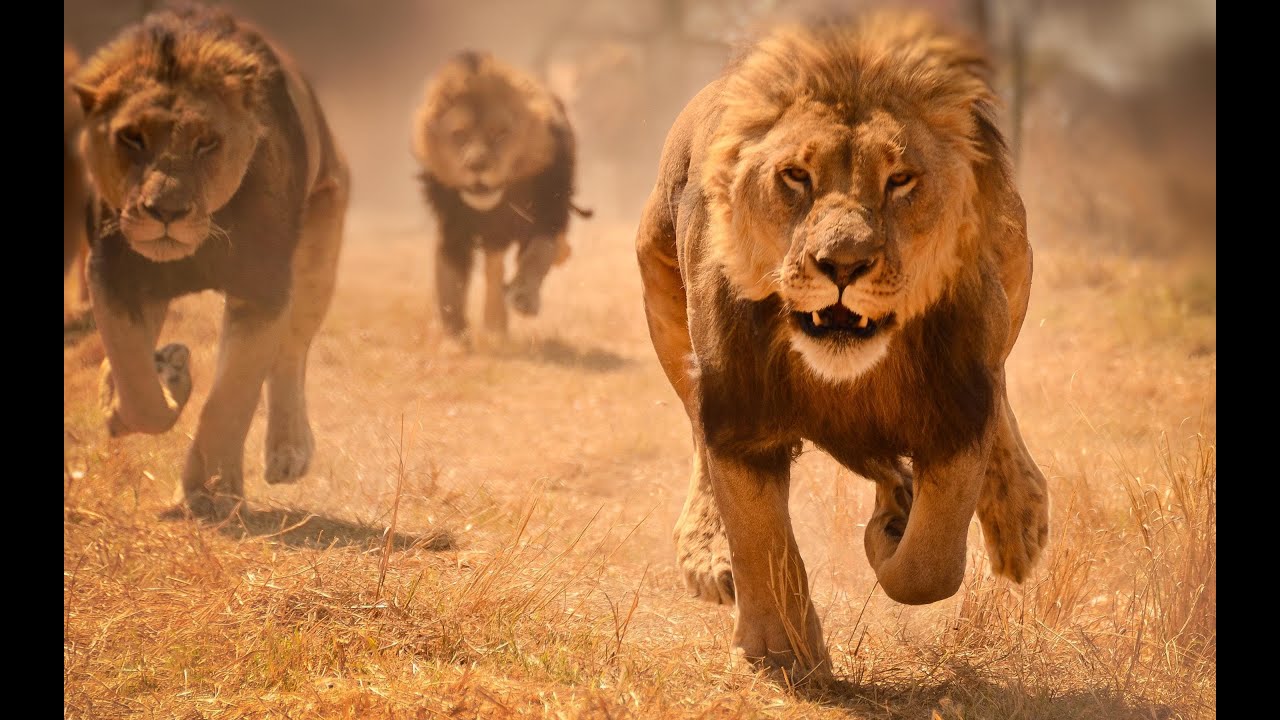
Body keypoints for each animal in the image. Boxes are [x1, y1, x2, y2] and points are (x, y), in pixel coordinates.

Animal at [72, 5, 349, 517]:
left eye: (206, 143)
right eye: (132, 138)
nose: (166, 212)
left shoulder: (262, 290)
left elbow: (231, 397)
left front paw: (212, 493)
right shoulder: (111, 276)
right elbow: (137, 384)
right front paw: (167, 379)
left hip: (320, 244)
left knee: (291, 354)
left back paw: (288, 452)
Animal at [412, 50, 591, 348]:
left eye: (500, 134)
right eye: (459, 135)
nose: (477, 165)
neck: (496, 206)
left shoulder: (547, 214)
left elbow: (538, 254)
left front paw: (524, 296)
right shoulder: (453, 230)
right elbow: (450, 284)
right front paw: (454, 340)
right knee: (493, 270)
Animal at [635, 11, 1049, 678]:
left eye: (900, 180)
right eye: (796, 176)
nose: (843, 265)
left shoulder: (960, 405)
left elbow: (930, 564)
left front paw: (891, 535)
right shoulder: (737, 414)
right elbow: (760, 536)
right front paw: (779, 651)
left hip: (1013, 266)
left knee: (1000, 393)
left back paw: (1014, 517)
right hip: (662, 298)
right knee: (697, 436)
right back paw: (711, 553)